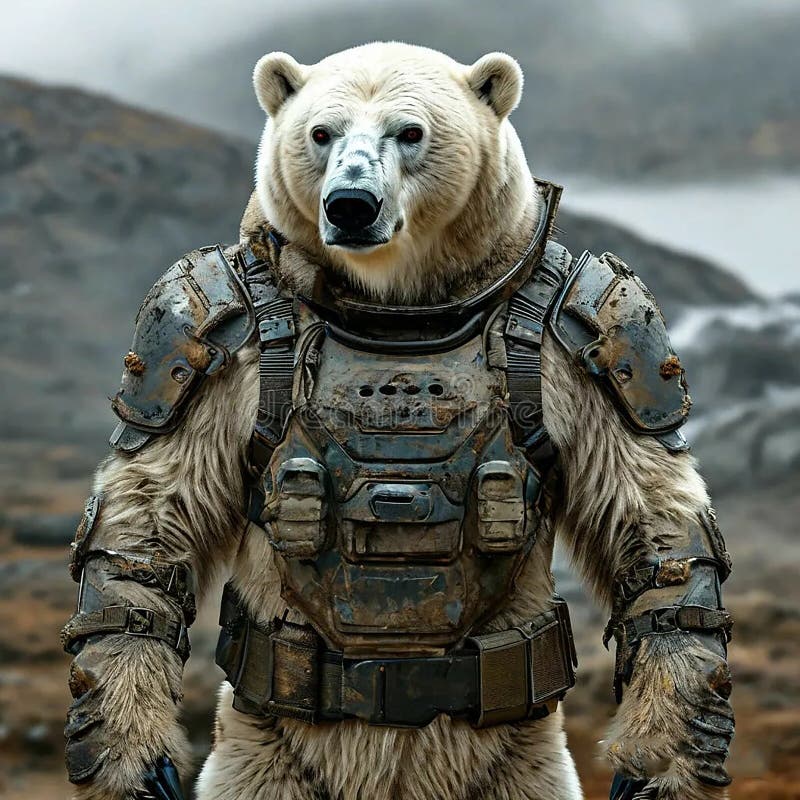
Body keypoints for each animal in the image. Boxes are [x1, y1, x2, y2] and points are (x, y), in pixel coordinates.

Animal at [62, 43, 734, 800]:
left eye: (410, 131)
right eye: (320, 132)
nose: (350, 205)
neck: (399, 307)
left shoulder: (596, 335)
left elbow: (652, 528)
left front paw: (655, 769)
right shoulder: (204, 335)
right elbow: (150, 521)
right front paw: (134, 764)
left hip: (518, 762)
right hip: (264, 752)